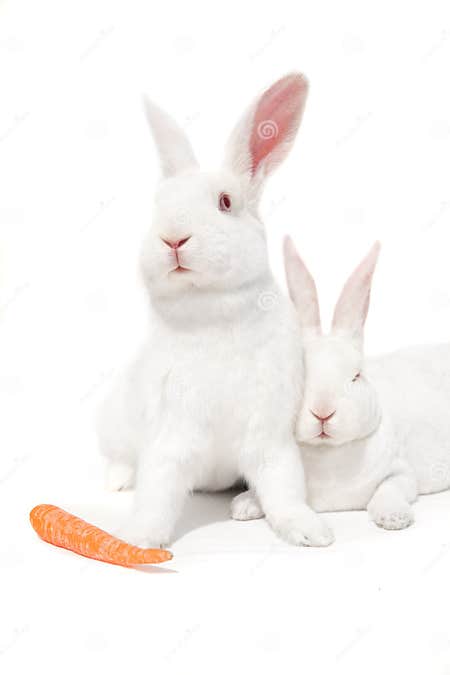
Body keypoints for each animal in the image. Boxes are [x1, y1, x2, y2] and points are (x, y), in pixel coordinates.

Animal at [96, 74, 334, 548]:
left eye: (225, 202)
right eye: (158, 206)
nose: (173, 238)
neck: (213, 313)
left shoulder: (270, 436)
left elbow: (284, 487)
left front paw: (309, 531)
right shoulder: (171, 435)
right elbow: (158, 490)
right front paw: (135, 539)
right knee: (122, 458)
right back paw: (117, 480)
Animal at [231, 238, 450, 530]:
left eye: (356, 376)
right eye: (299, 373)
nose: (323, 412)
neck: (328, 454)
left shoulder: (402, 473)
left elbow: (388, 490)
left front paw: (394, 518)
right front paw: (244, 505)